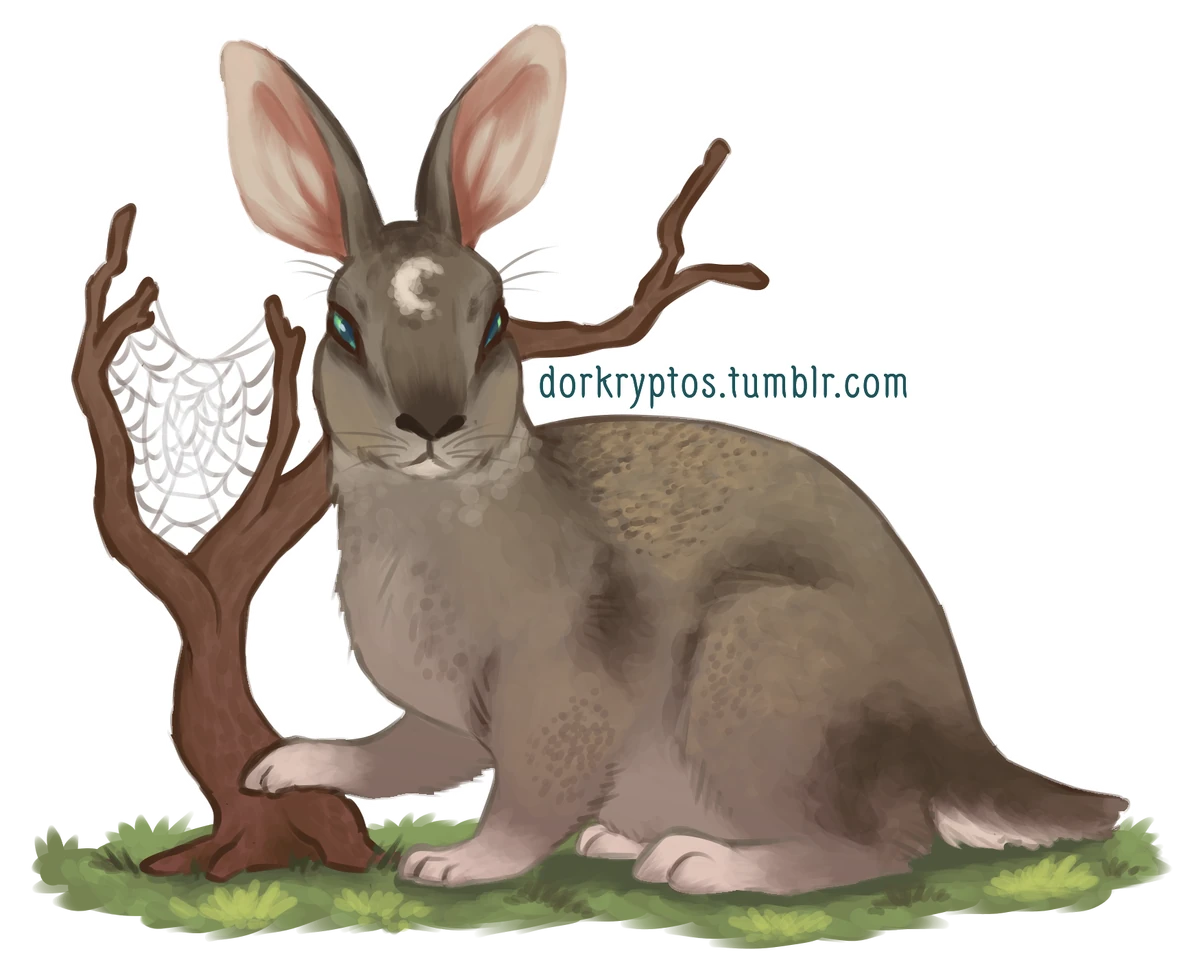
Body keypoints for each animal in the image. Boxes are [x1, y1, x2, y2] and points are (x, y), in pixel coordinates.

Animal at [226, 27, 1128, 895]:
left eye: (494, 325)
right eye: (343, 326)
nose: (430, 424)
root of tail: (950, 745)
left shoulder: (556, 698)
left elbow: (526, 802)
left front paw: (455, 865)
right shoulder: (450, 717)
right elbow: (396, 755)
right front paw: (283, 765)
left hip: (756, 666)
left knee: (875, 850)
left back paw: (701, 865)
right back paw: (626, 843)